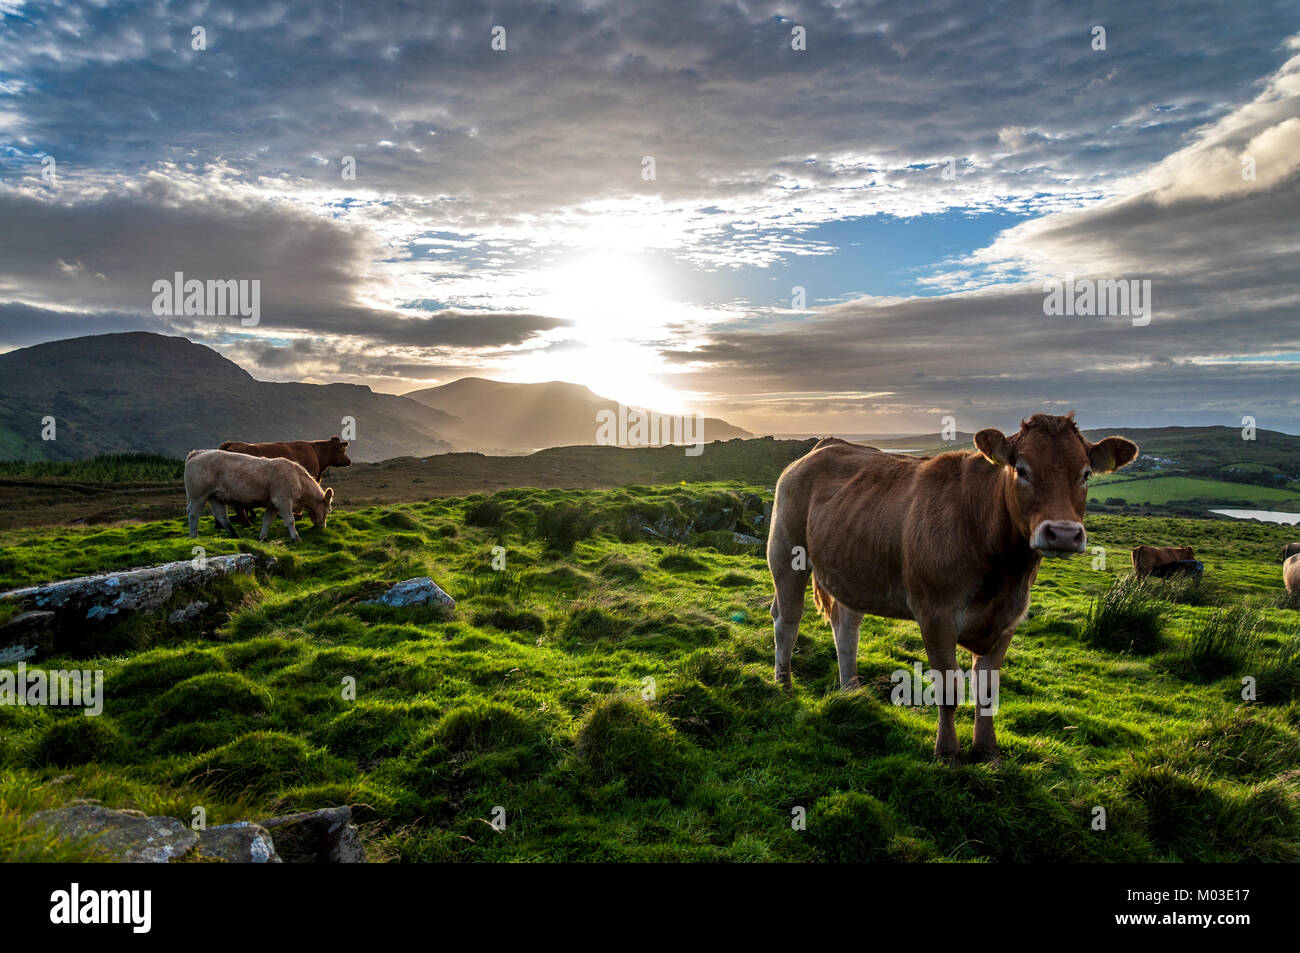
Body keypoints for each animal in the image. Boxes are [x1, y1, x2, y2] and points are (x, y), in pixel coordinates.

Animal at [185, 449, 333, 542]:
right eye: (328, 510)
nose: (323, 528)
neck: (298, 479)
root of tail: (198, 452)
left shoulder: (272, 505)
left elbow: (267, 521)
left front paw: (262, 538)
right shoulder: (283, 500)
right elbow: (290, 520)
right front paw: (296, 537)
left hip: (215, 497)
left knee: (222, 517)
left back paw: (235, 535)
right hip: (198, 495)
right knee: (193, 514)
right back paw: (194, 536)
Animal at [218, 437, 351, 526]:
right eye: (343, 450)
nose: (349, 461)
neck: (316, 453)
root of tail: (230, 444)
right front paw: (298, 515)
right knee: (237, 506)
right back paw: (247, 524)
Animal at [767, 412, 1138, 765]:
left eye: (1086, 474)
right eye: (1021, 469)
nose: (1062, 533)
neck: (1003, 573)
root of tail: (827, 445)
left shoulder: (1007, 620)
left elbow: (987, 689)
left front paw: (988, 752)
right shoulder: (936, 615)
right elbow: (948, 687)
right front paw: (947, 753)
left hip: (852, 569)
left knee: (846, 629)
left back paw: (852, 693)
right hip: (786, 552)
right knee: (787, 620)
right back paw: (784, 685)